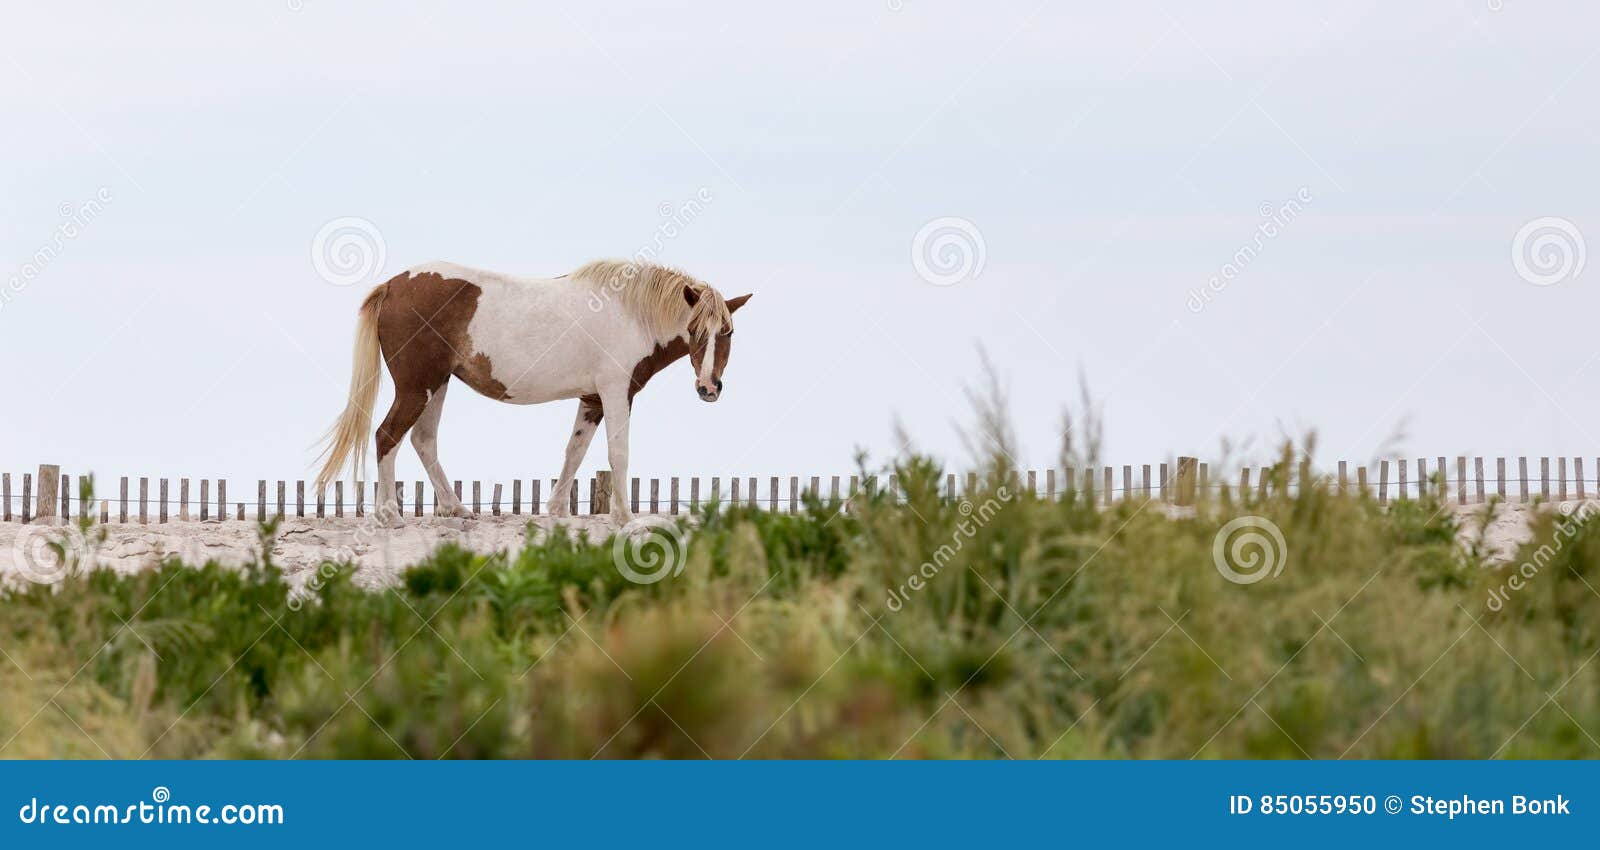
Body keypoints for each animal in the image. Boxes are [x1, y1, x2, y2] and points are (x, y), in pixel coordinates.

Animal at [313, 259, 751, 526]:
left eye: (728, 332)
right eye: (694, 331)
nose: (708, 388)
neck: (630, 314)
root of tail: (394, 285)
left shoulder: (591, 400)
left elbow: (575, 451)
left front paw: (556, 511)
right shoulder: (615, 393)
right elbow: (618, 454)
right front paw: (624, 519)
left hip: (437, 385)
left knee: (423, 440)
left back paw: (456, 508)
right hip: (416, 387)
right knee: (388, 436)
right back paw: (389, 515)